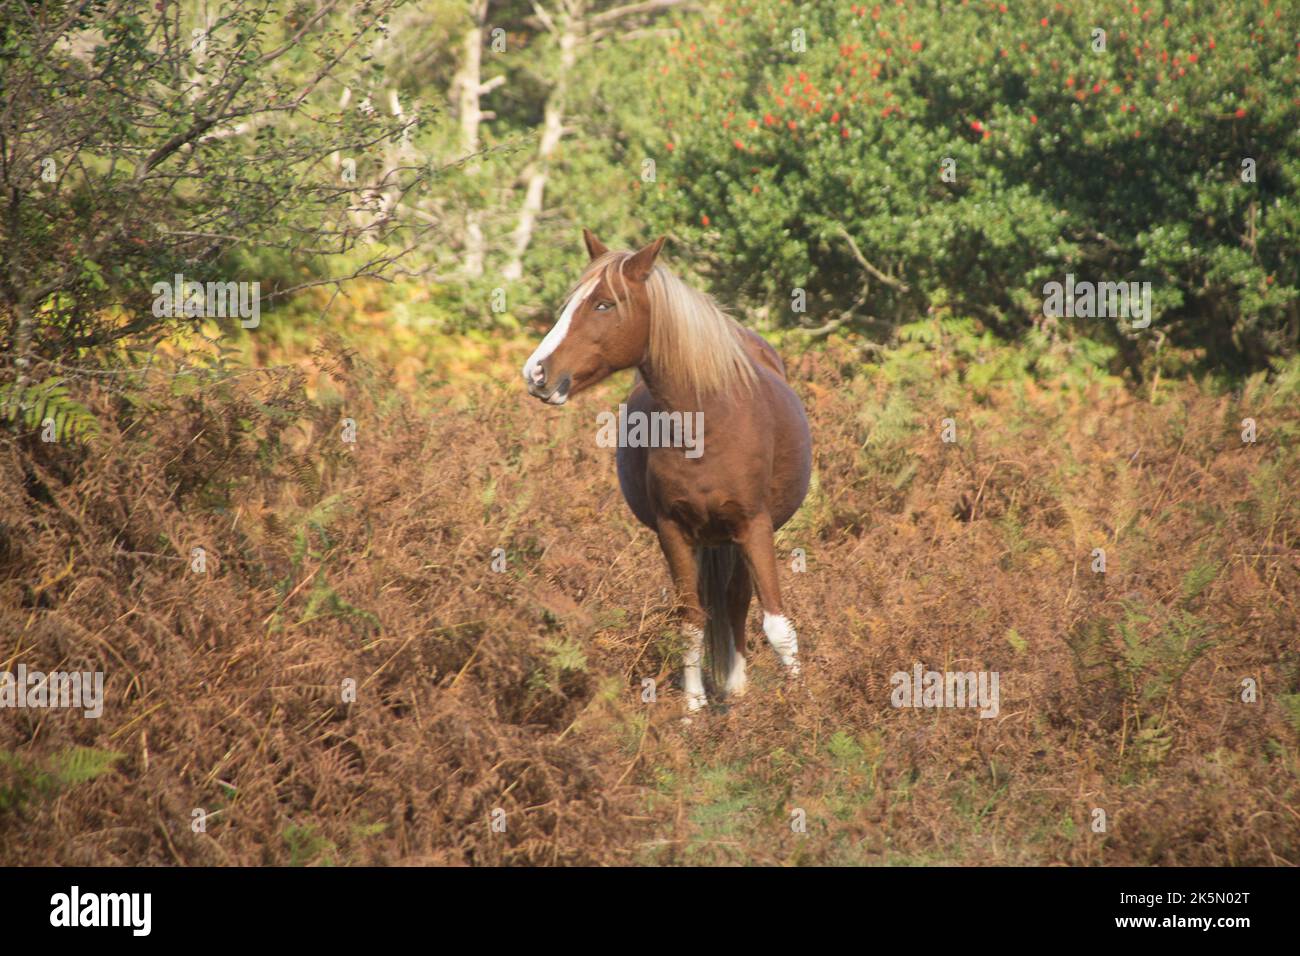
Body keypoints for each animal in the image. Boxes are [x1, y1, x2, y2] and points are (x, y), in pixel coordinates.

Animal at [522, 230, 812, 712]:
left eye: (604, 304)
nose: (536, 373)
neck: (707, 424)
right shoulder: (673, 531)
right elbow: (690, 625)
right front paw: (692, 713)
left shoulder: (755, 525)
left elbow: (778, 626)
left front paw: (805, 711)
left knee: (739, 603)